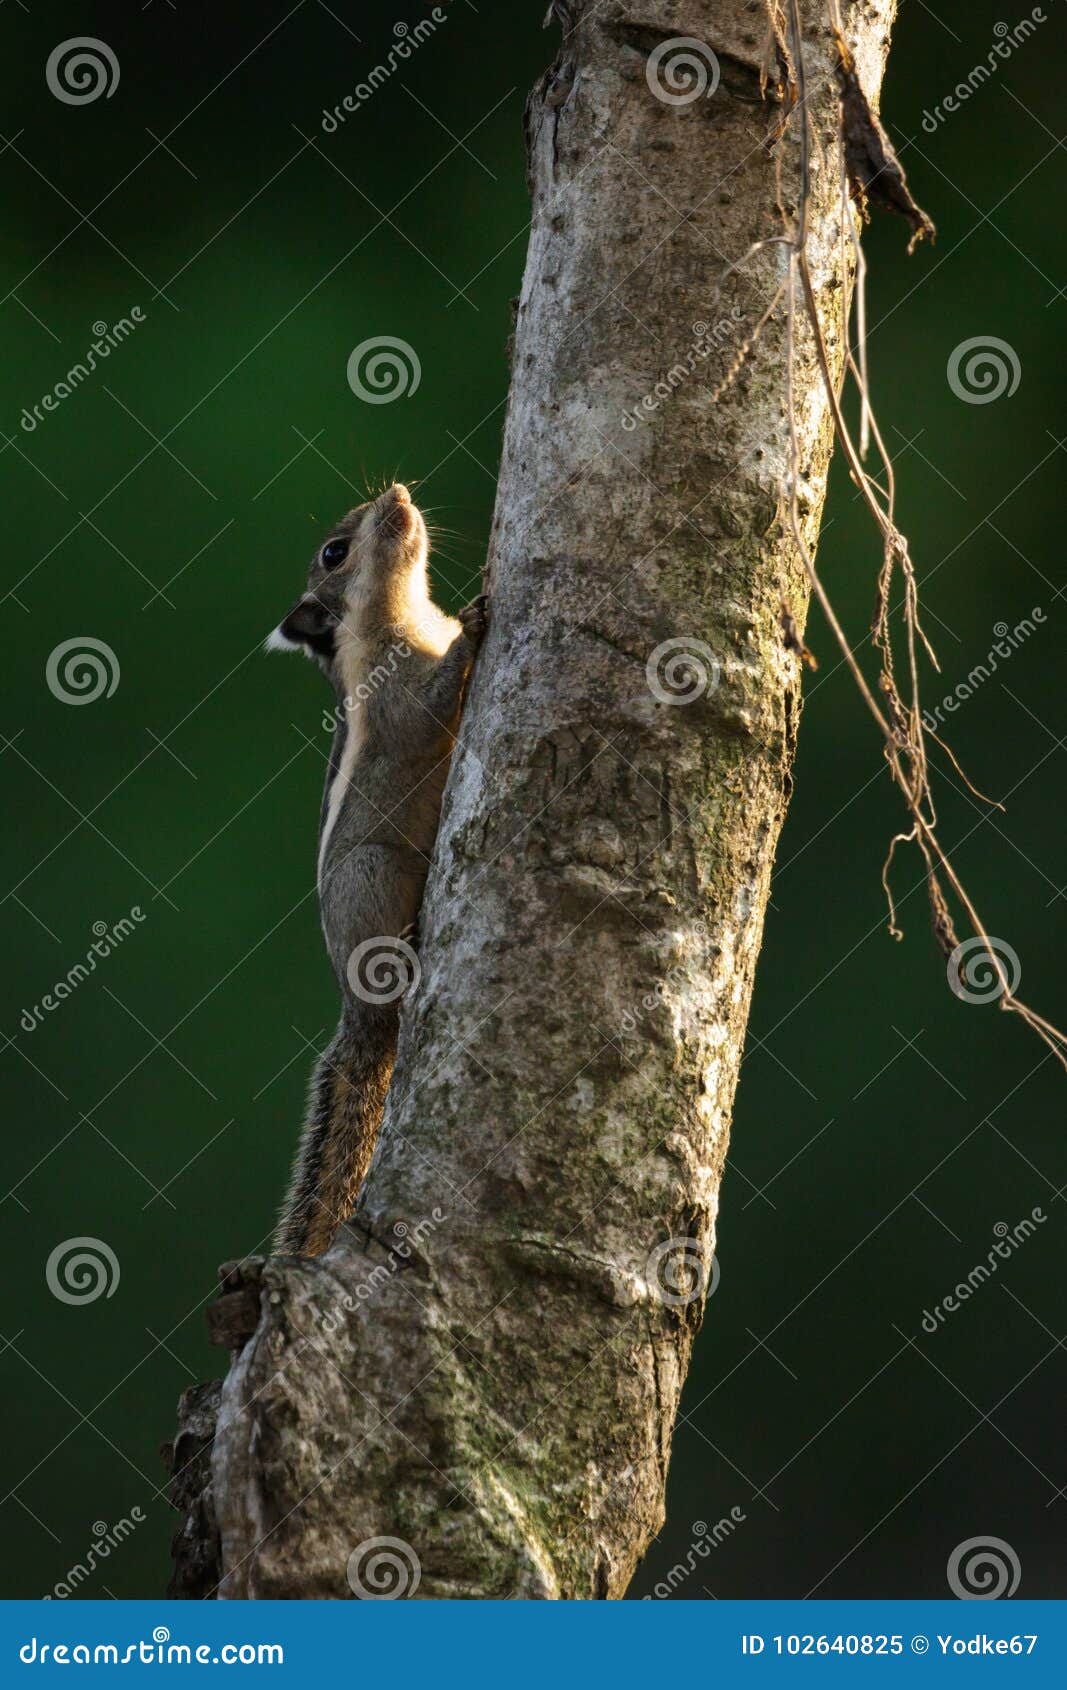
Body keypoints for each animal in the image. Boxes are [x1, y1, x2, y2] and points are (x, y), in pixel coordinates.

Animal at [265, 482, 486, 1256]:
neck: (408, 614)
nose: (397, 492)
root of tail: (356, 1018)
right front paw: (475, 625)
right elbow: (430, 708)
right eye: (335, 552)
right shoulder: (396, 695)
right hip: (372, 875)